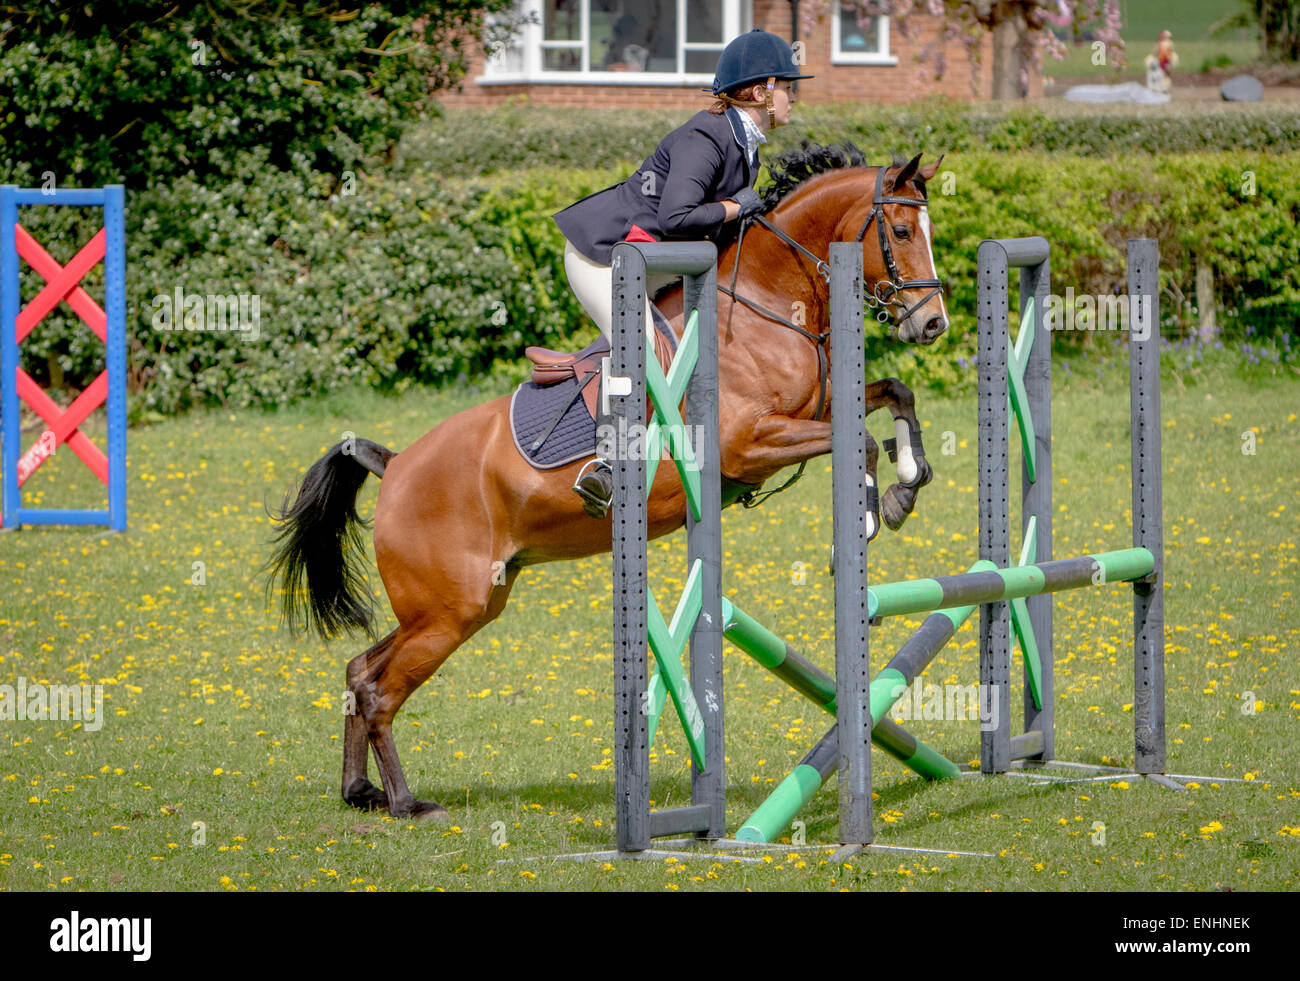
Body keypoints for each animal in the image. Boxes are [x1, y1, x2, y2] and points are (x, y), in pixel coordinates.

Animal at [266, 143, 949, 819]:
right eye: (902, 231)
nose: (932, 325)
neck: (764, 306)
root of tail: (395, 463)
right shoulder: (749, 441)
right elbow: (861, 440)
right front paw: (870, 513)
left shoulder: (815, 410)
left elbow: (895, 393)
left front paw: (908, 481)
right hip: (446, 612)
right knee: (381, 692)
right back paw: (408, 804)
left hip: (464, 604)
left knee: (360, 671)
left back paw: (360, 792)